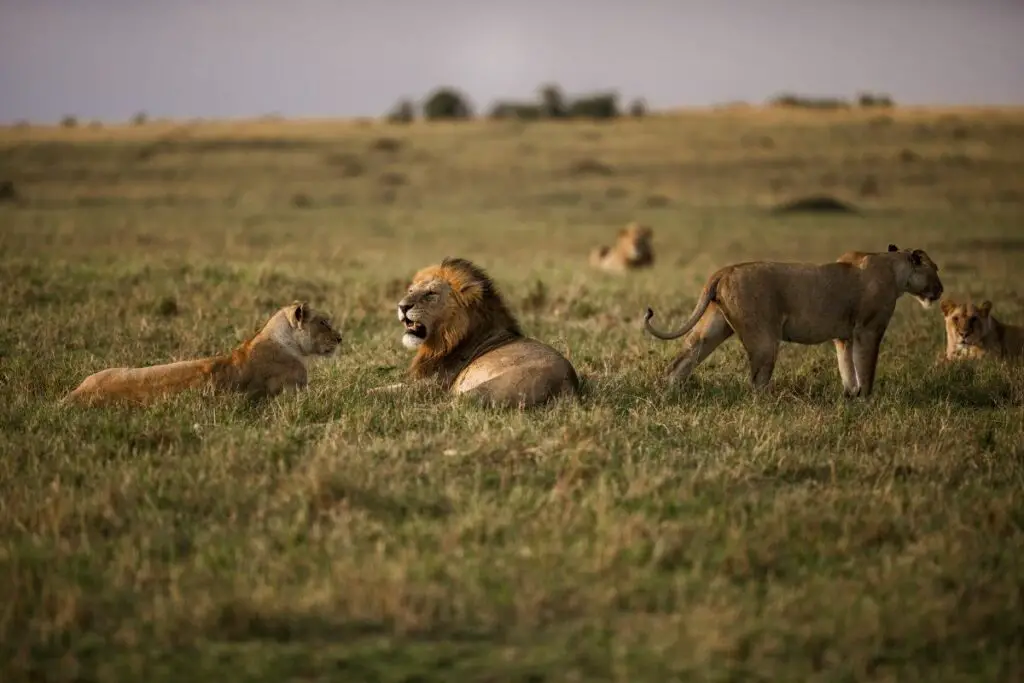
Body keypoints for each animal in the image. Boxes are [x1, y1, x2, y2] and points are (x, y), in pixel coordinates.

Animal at [379, 257, 580, 408]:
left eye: (431, 293)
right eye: (410, 291)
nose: (402, 306)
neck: (446, 338)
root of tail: (569, 385)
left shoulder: (430, 385)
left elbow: (384, 391)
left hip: (482, 389)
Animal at [643, 244, 943, 398]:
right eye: (936, 269)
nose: (941, 290)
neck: (894, 269)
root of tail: (725, 270)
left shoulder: (843, 337)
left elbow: (847, 368)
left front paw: (850, 396)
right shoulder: (869, 330)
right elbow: (866, 368)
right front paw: (867, 400)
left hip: (713, 328)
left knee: (682, 360)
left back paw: (669, 392)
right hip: (764, 339)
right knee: (756, 383)